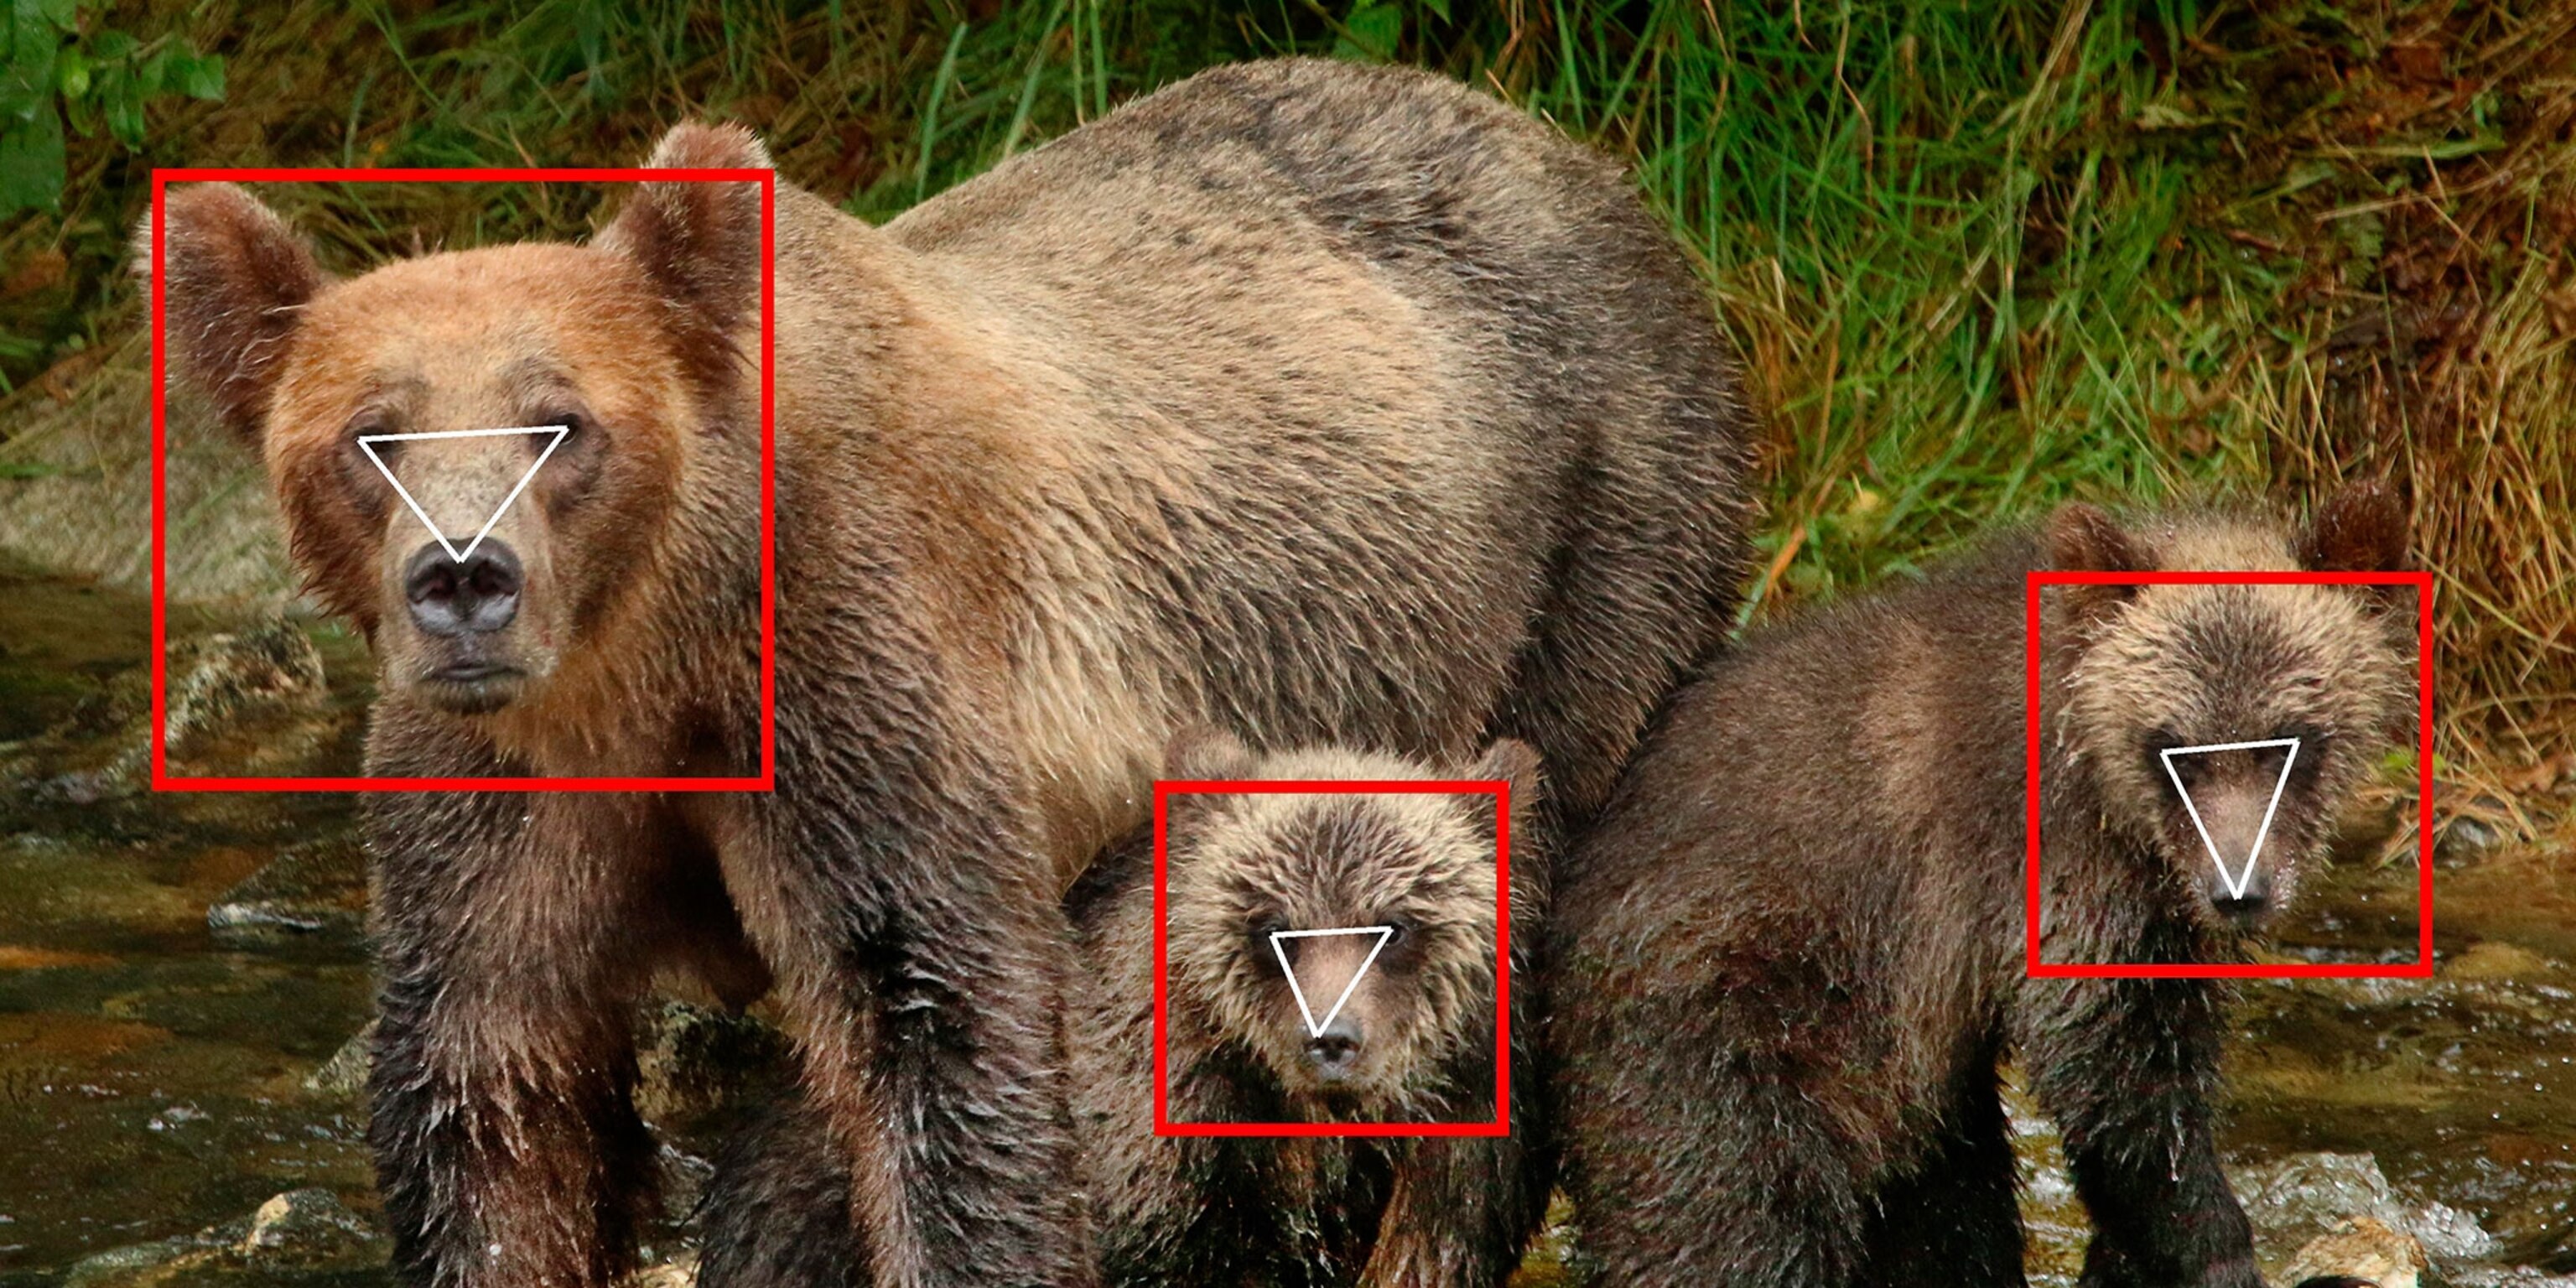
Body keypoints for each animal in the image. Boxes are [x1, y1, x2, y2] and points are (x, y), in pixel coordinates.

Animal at [1544, 482, 2416, 1287]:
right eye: (2172, 748)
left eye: (2291, 742)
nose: (2239, 890)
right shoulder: (2057, 865)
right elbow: (2120, 1071)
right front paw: (2210, 1242)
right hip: (1731, 1017)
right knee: (1731, 1218)